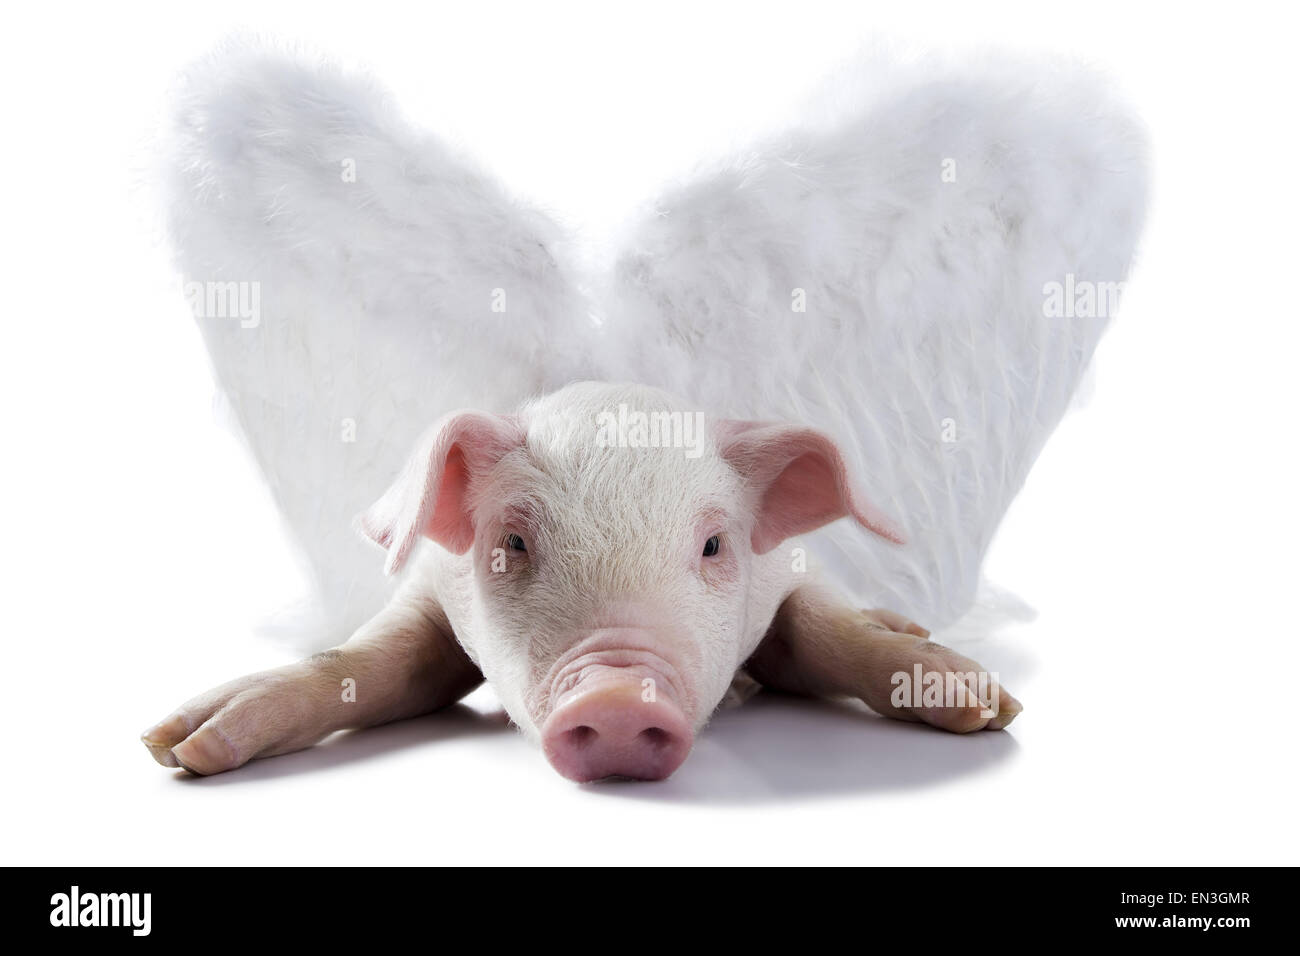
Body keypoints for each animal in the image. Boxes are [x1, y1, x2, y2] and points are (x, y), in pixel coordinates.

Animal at [141, 382, 1021, 782]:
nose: (620, 696)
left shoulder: (787, 575)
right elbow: (374, 662)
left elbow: (823, 630)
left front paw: (982, 705)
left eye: (713, 544)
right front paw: (183, 747)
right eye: (511, 542)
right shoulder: (434, 590)